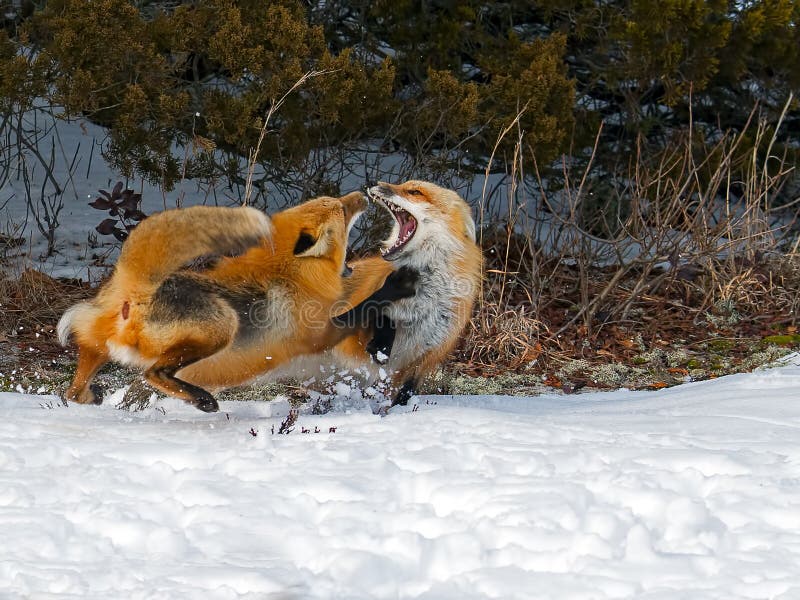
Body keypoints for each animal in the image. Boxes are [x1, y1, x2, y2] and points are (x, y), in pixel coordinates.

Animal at [58, 192, 371, 412]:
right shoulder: (317, 335)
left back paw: (90, 396)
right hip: (223, 325)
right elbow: (353, 322)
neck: (289, 272)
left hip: (97, 348)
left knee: (73, 392)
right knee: (153, 373)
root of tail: (138, 290)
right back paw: (201, 400)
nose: (364, 194)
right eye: (343, 209)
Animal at [329, 180, 483, 407]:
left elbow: (406, 392)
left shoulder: (427, 356)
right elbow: (379, 311)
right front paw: (383, 343)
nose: (374, 182)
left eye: (414, 191)